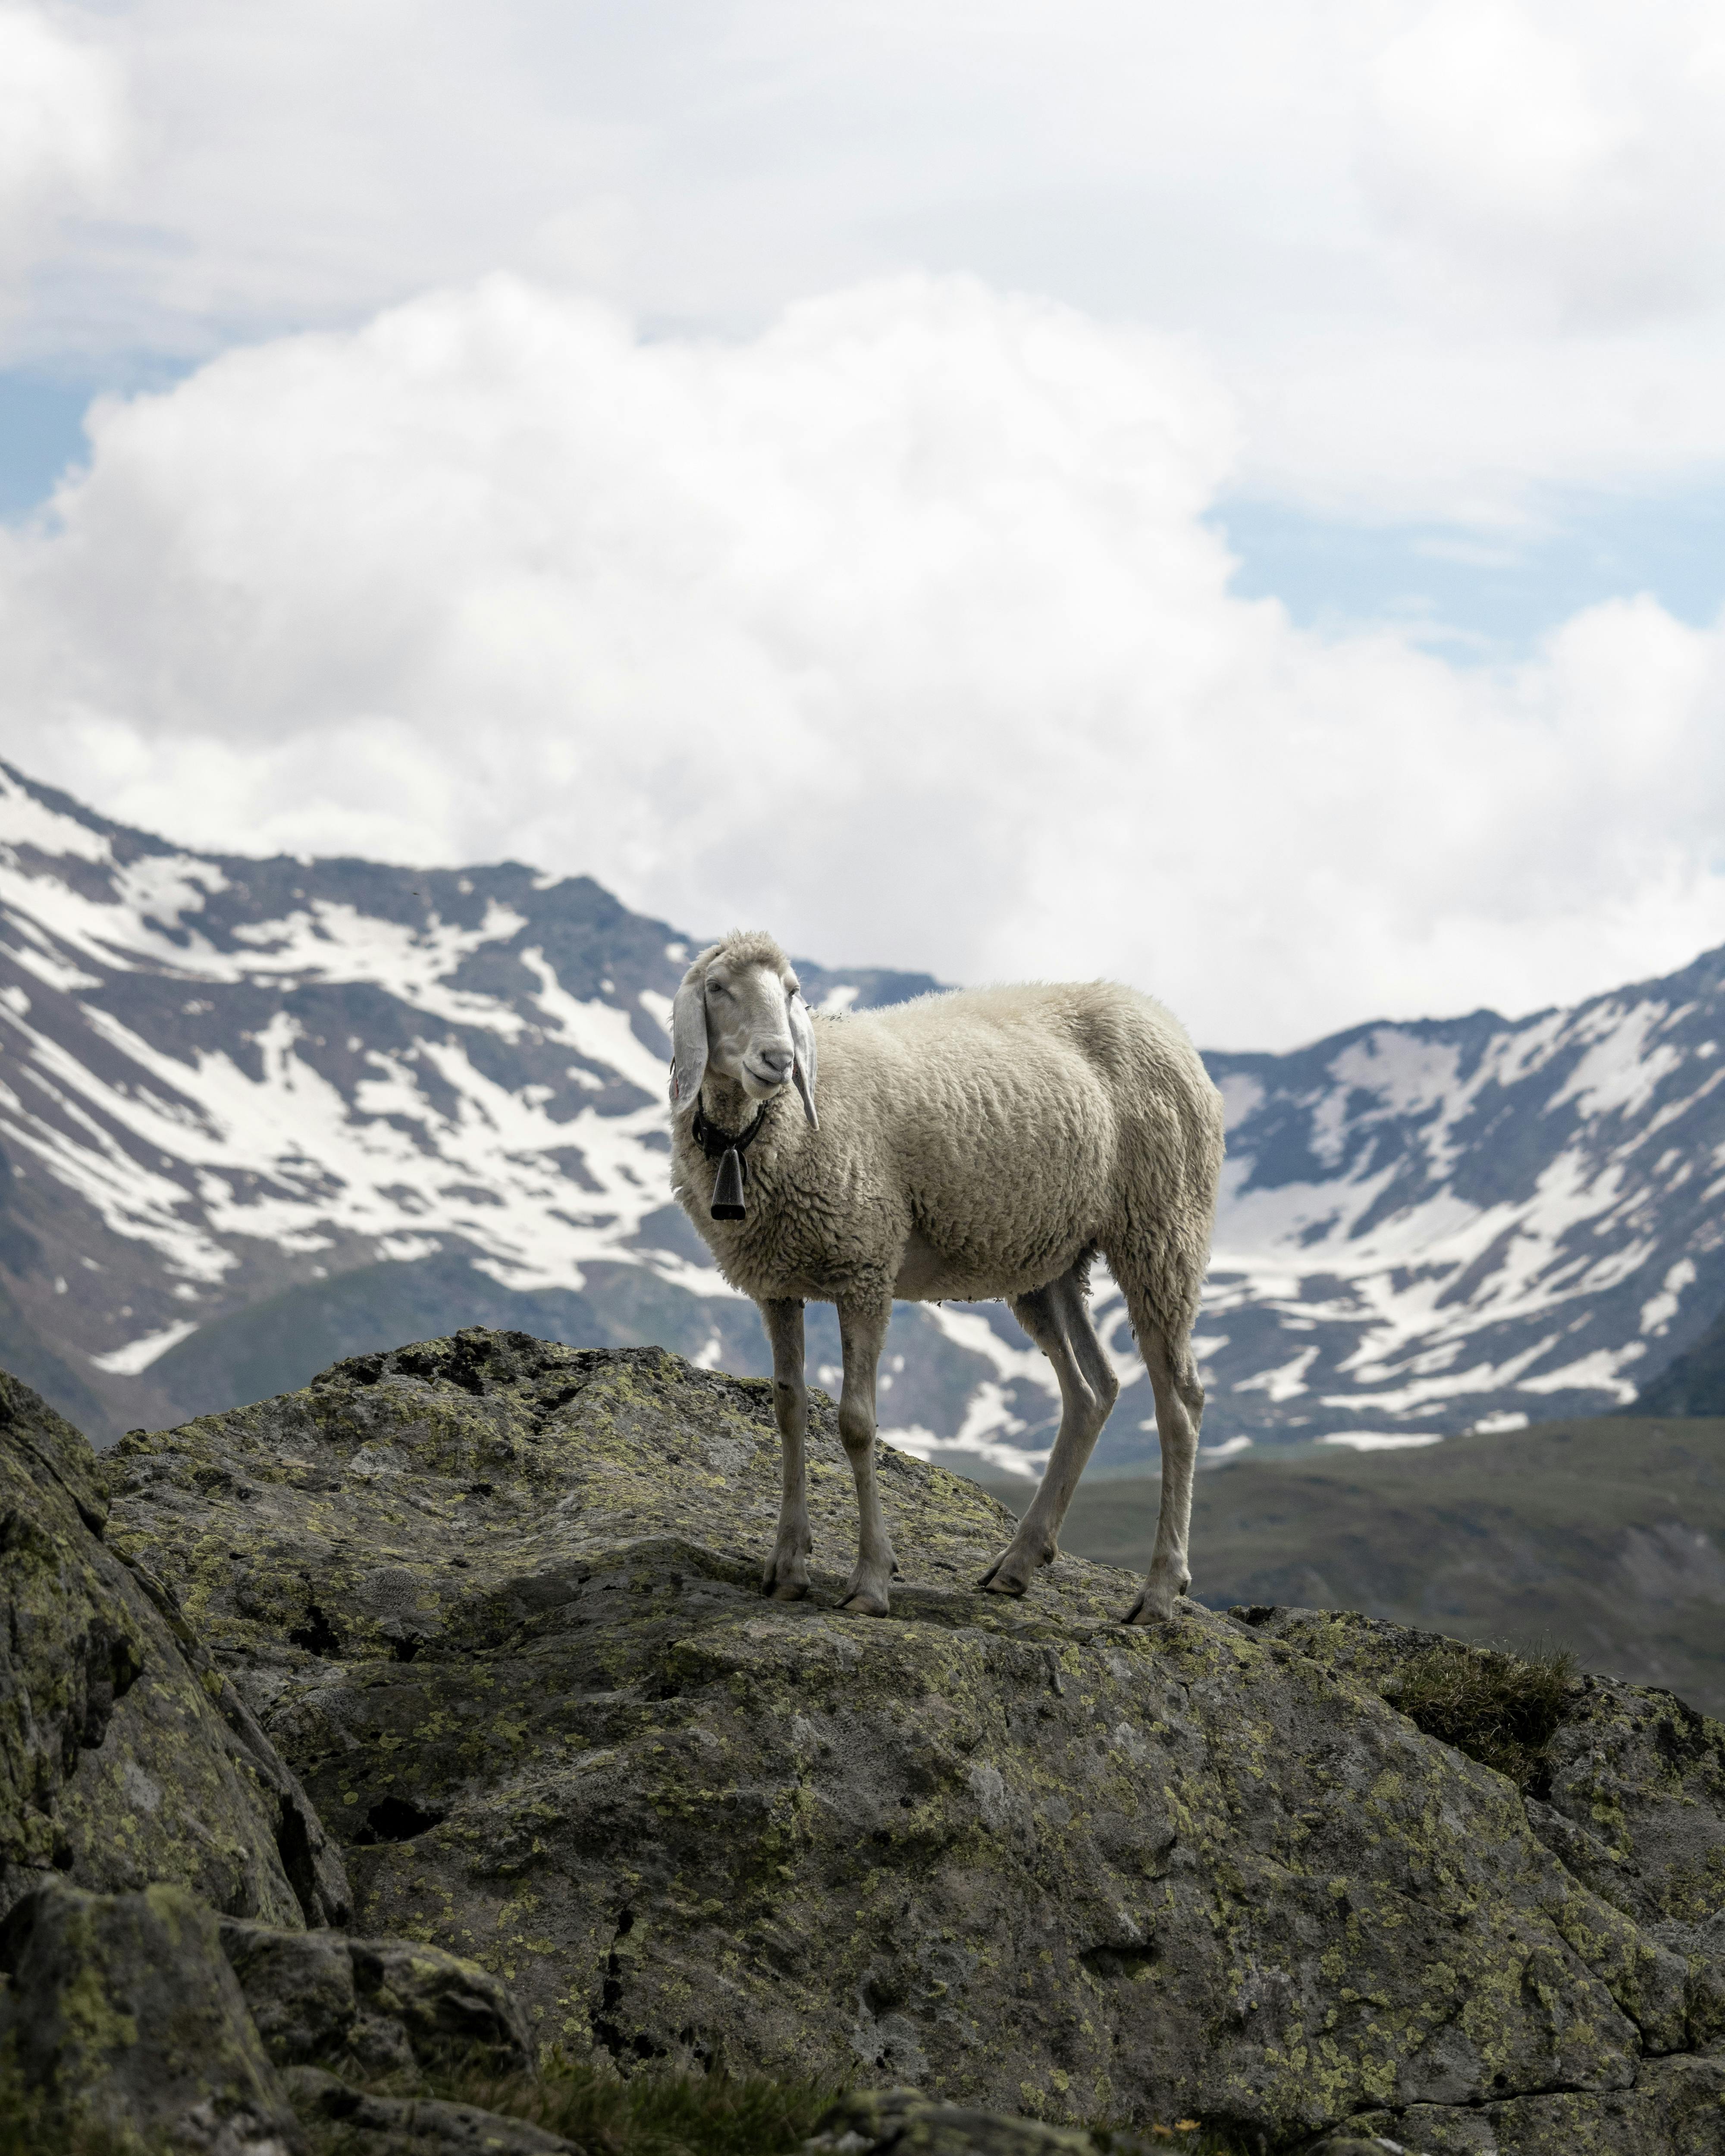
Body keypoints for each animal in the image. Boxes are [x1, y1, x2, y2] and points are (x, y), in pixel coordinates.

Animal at [667, 930, 1225, 1624]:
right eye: (718, 988)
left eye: (792, 991)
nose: (778, 1059)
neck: (761, 1131)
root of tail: (1162, 1018)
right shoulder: (777, 1283)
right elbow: (789, 1411)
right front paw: (787, 1567)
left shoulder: (865, 1263)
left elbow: (856, 1423)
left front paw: (871, 1580)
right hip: (1048, 1258)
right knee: (1094, 1389)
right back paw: (1019, 1562)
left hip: (1161, 1226)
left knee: (1180, 1401)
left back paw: (1159, 1589)